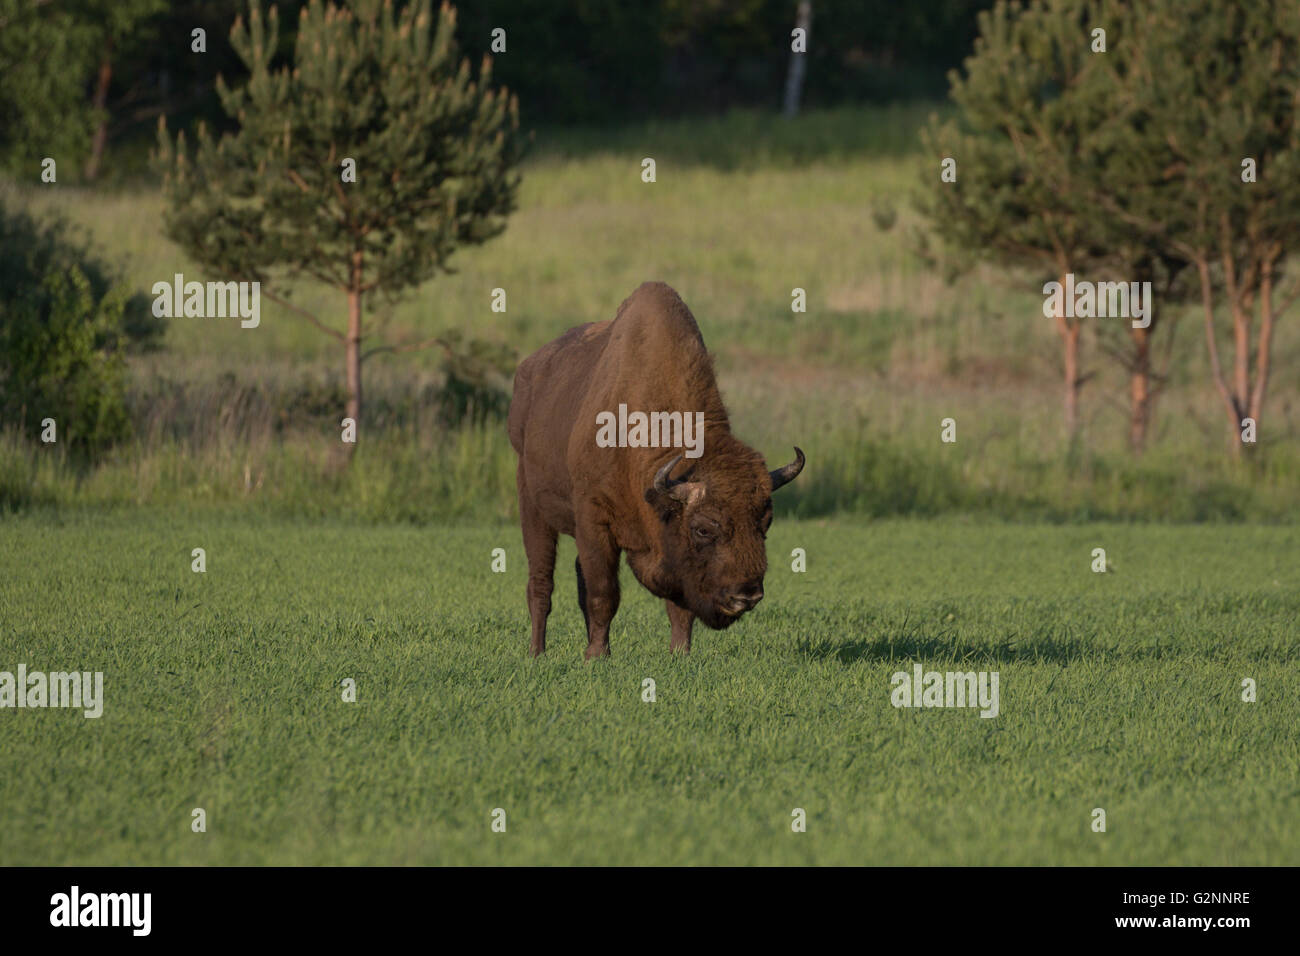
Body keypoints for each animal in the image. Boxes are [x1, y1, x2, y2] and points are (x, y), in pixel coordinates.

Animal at [508, 281, 804, 658]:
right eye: (703, 529)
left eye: (765, 522)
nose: (746, 595)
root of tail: (527, 372)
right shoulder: (594, 520)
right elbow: (603, 594)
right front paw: (596, 657)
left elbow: (677, 607)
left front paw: (680, 655)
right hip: (532, 507)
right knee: (541, 584)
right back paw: (537, 653)